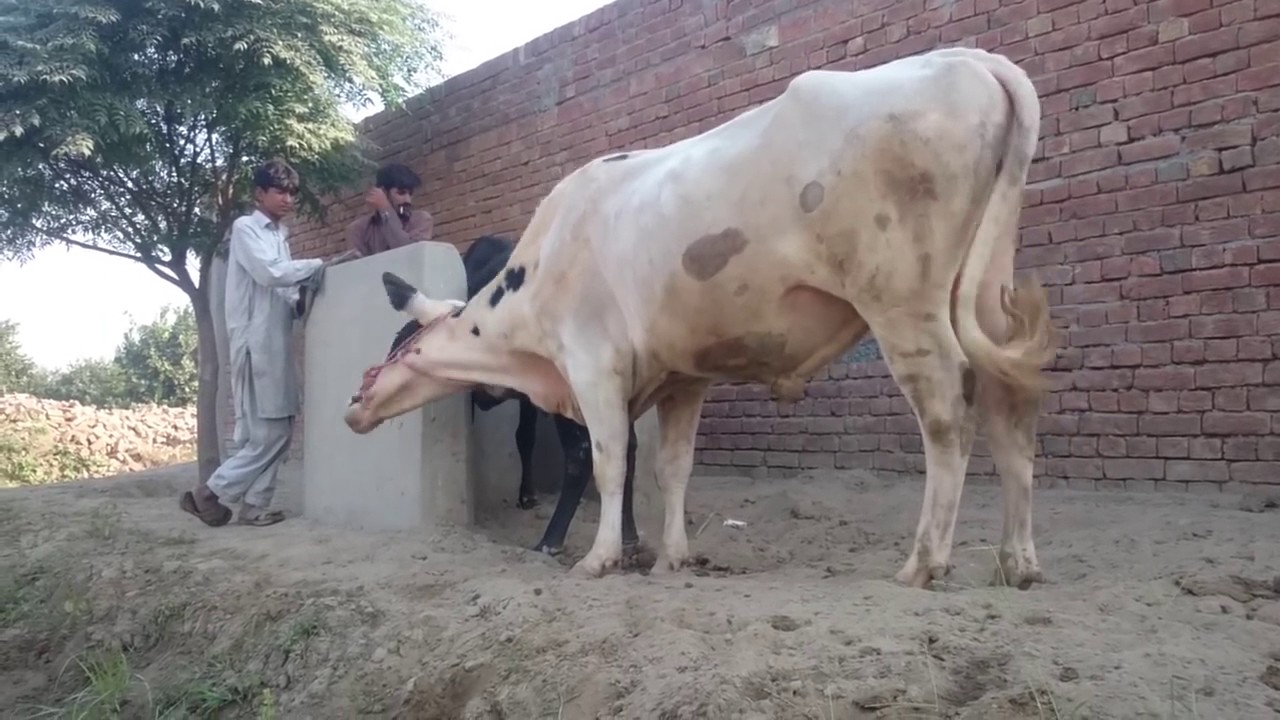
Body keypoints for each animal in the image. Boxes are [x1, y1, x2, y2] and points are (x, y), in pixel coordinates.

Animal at [384, 234, 641, 557]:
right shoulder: (527, 396)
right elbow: (524, 437)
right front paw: (527, 495)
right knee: (626, 447)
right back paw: (629, 536)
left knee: (581, 454)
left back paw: (549, 541)